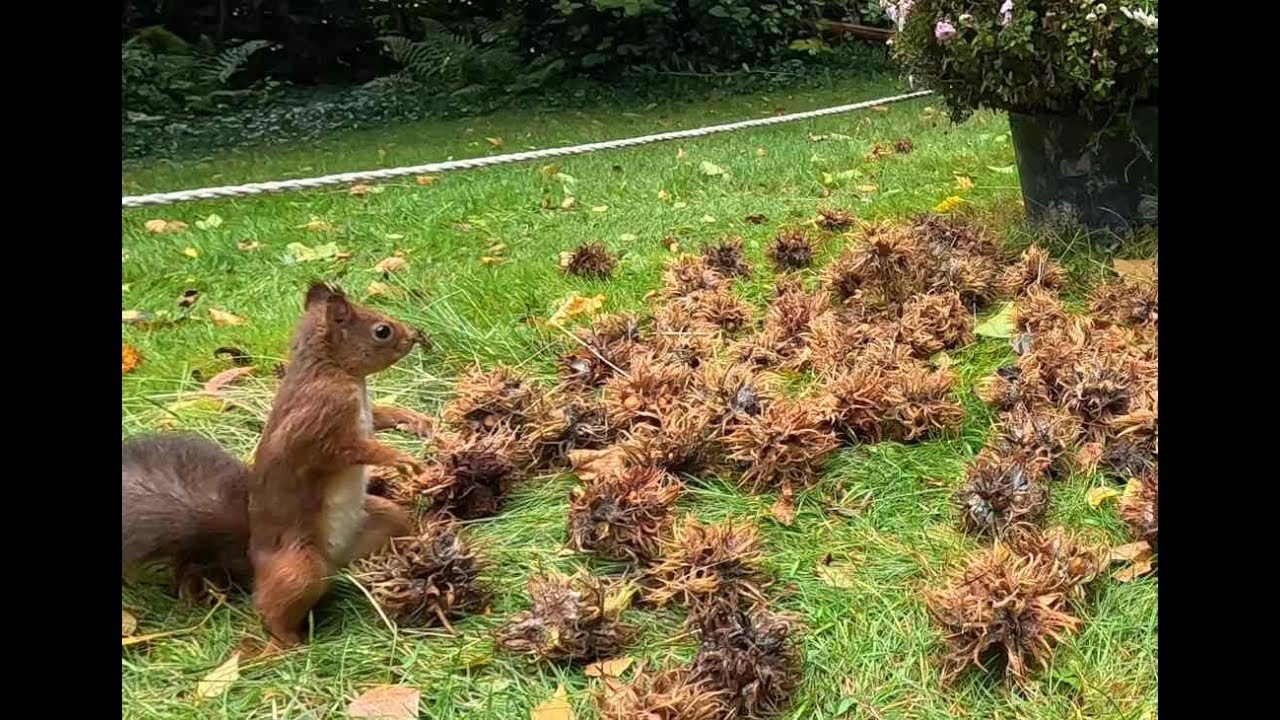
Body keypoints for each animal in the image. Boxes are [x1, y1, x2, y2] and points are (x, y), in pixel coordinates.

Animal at [121, 283, 436, 641]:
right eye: (382, 331)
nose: (413, 335)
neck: (330, 370)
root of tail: (251, 553)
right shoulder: (317, 421)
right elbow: (340, 450)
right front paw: (399, 457)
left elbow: (382, 415)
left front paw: (414, 419)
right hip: (299, 569)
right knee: (271, 610)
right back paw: (287, 643)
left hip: (380, 519)